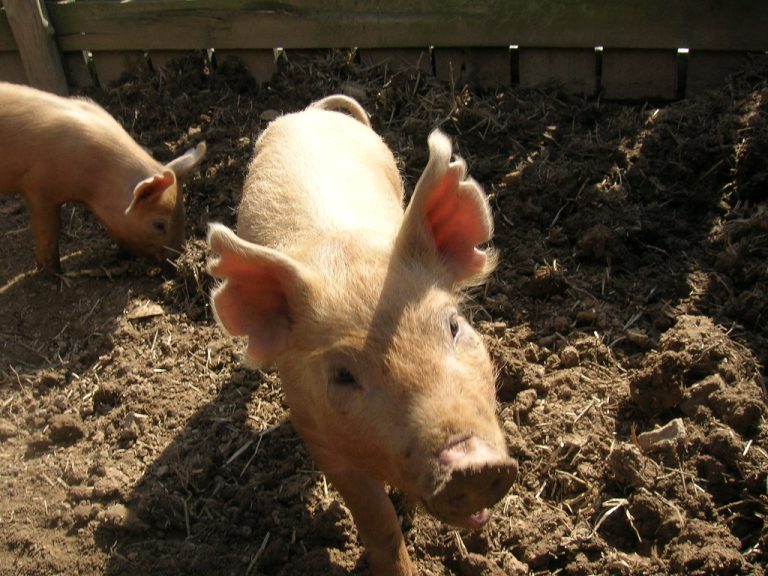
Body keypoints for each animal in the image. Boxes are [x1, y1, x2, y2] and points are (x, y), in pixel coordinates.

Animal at [0, 81, 206, 274]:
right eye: (159, 225)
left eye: (184, 214)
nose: (177, 259)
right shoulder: (36, 188)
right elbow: (49, 230)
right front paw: (51, 273)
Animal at [207, 94, 516, 575]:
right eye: (343, 376)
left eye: (453, 326)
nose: (474, 467)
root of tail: (308, 113)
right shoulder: (316, 434)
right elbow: (376, 520)